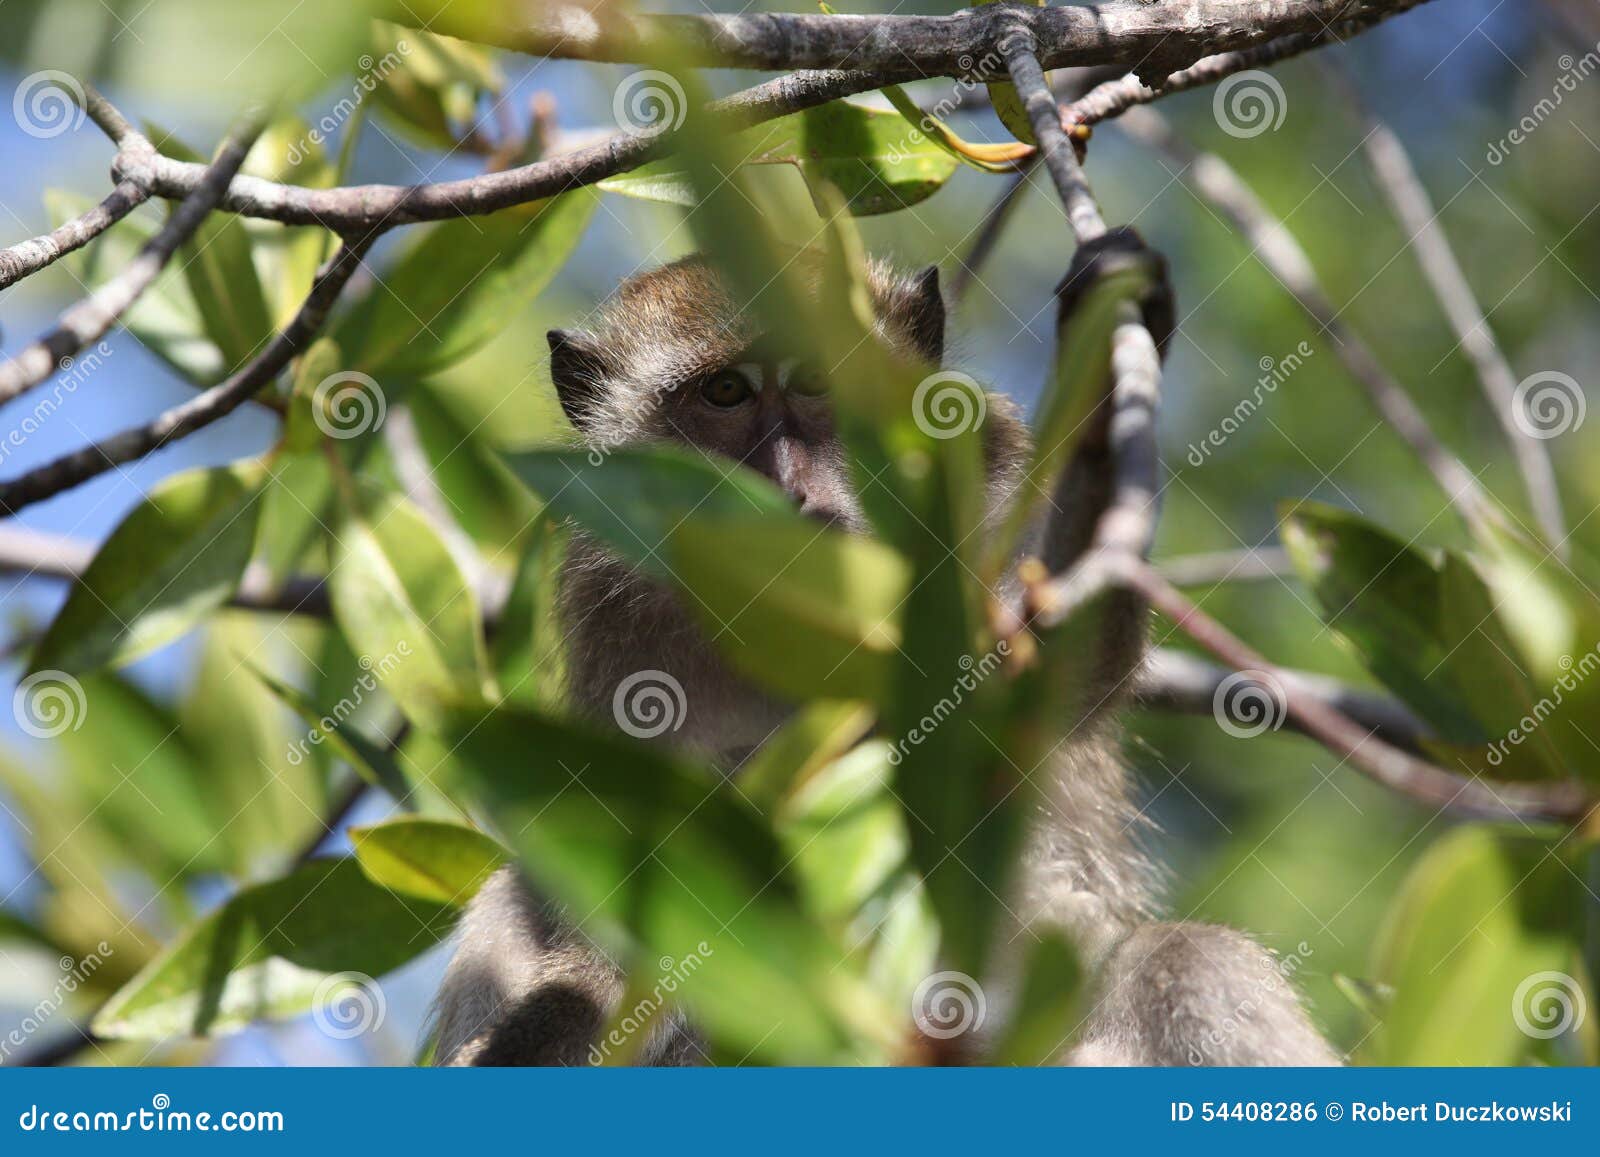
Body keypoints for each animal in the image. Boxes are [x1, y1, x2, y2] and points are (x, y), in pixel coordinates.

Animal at [431, 247, 1340, 1067]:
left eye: (817, 378)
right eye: (723, 393)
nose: (791, 490)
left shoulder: (983, 473)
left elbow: (1052, 686)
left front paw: (1099, 387)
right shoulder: (611, 605)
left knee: (1187, 960)